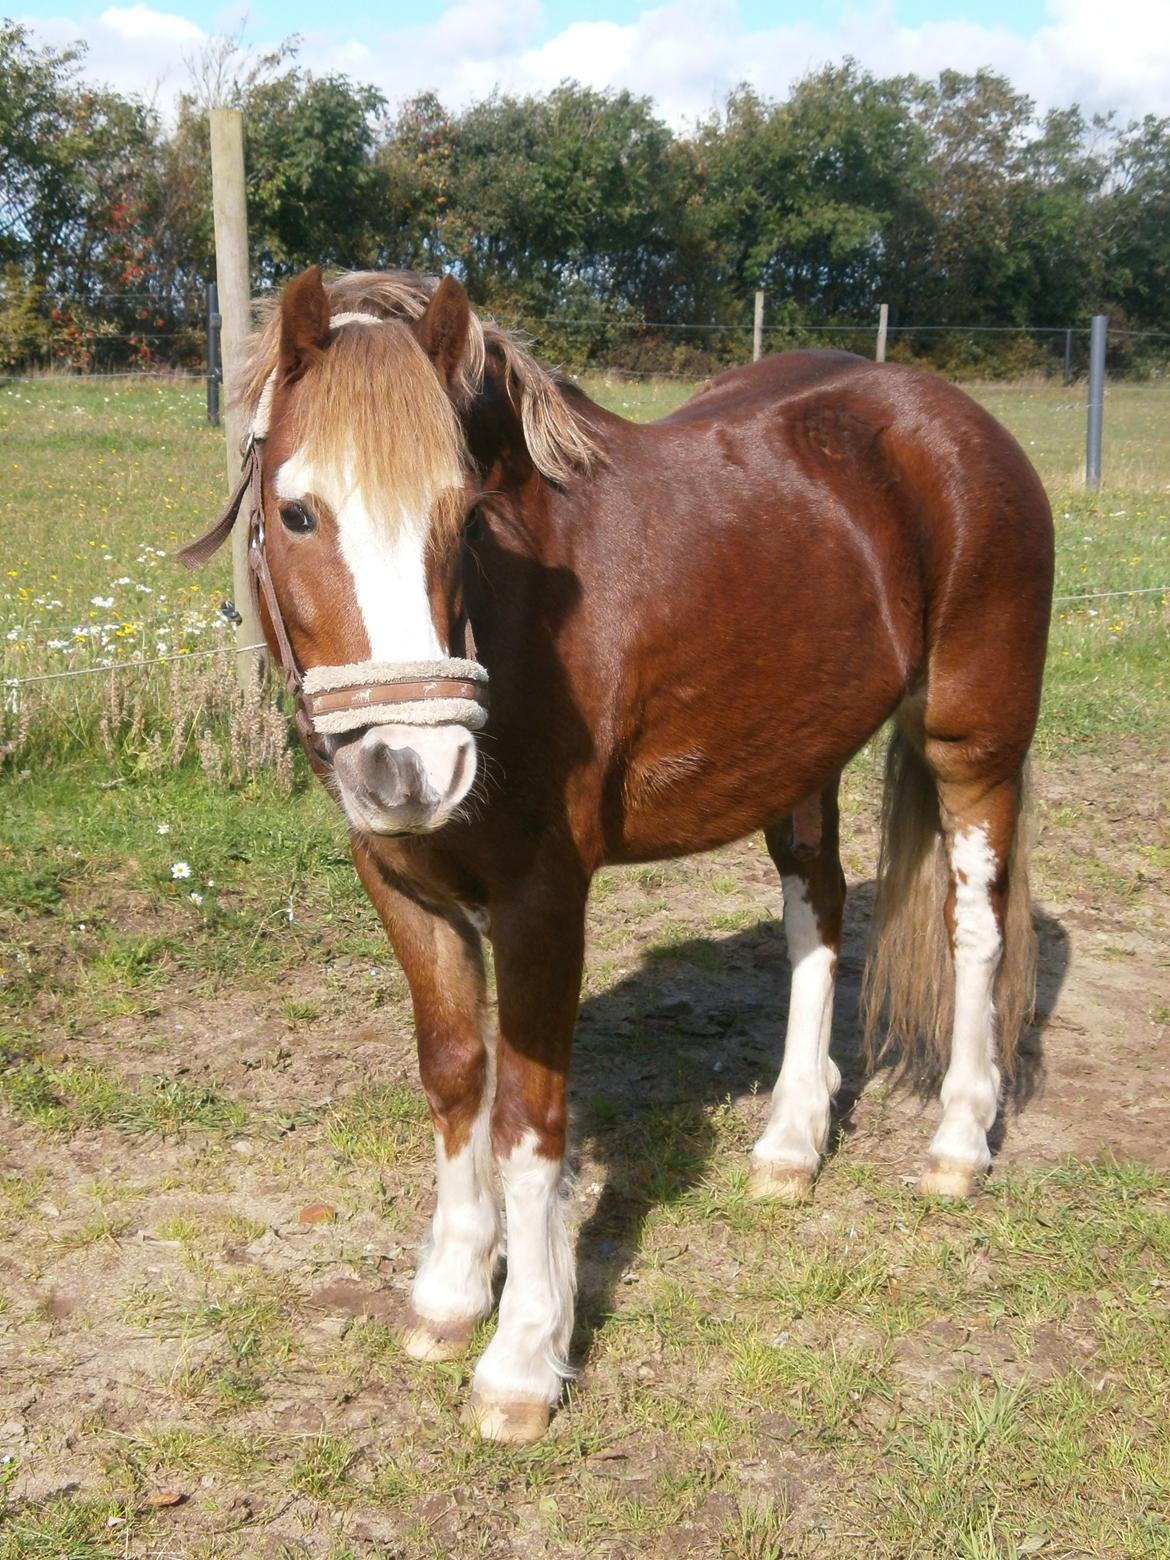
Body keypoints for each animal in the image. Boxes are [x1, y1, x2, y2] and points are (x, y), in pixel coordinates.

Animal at [180, 265, 1054, 1444]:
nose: (415, 769)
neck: (514, 615)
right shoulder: (402, 883)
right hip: (802, 756)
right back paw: (793, 1140)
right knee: (817, 914)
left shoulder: (543, 897)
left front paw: (524, 1356)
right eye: (296, 511)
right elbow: (455, 1075)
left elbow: (529, 1117)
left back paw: (959, 1141)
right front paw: (451, 1293)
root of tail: (955, 419)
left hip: (972, 742)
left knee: (975, 922)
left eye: (465, 517)